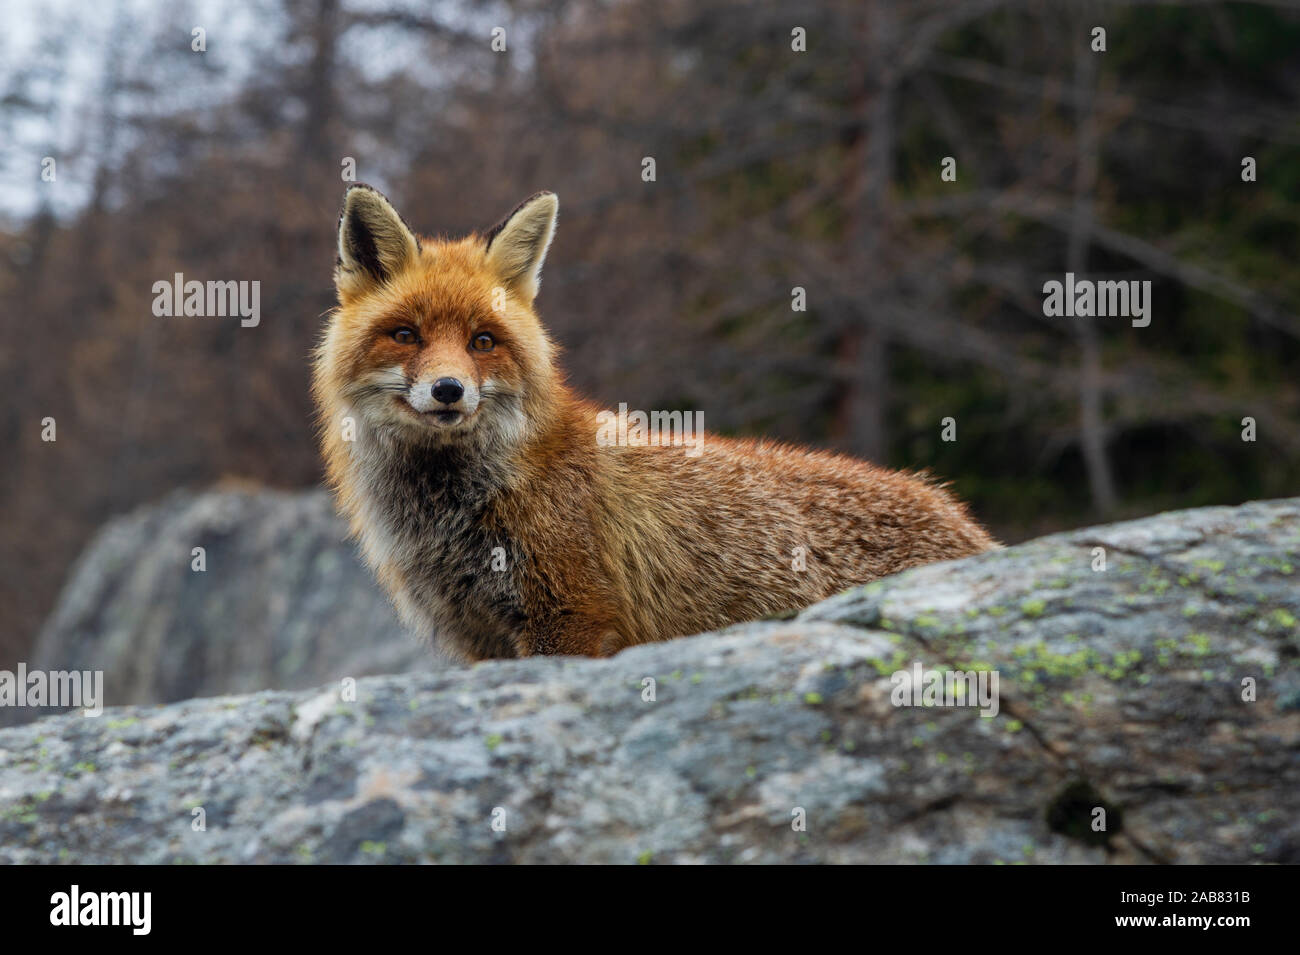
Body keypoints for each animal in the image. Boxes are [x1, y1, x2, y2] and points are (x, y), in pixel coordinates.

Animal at [311, 184, 997, 661]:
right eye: (406, 335)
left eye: (483, 341)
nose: (449, 390)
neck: (457, 507)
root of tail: (966, 522)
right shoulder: (479, 641)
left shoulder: (572, 617)